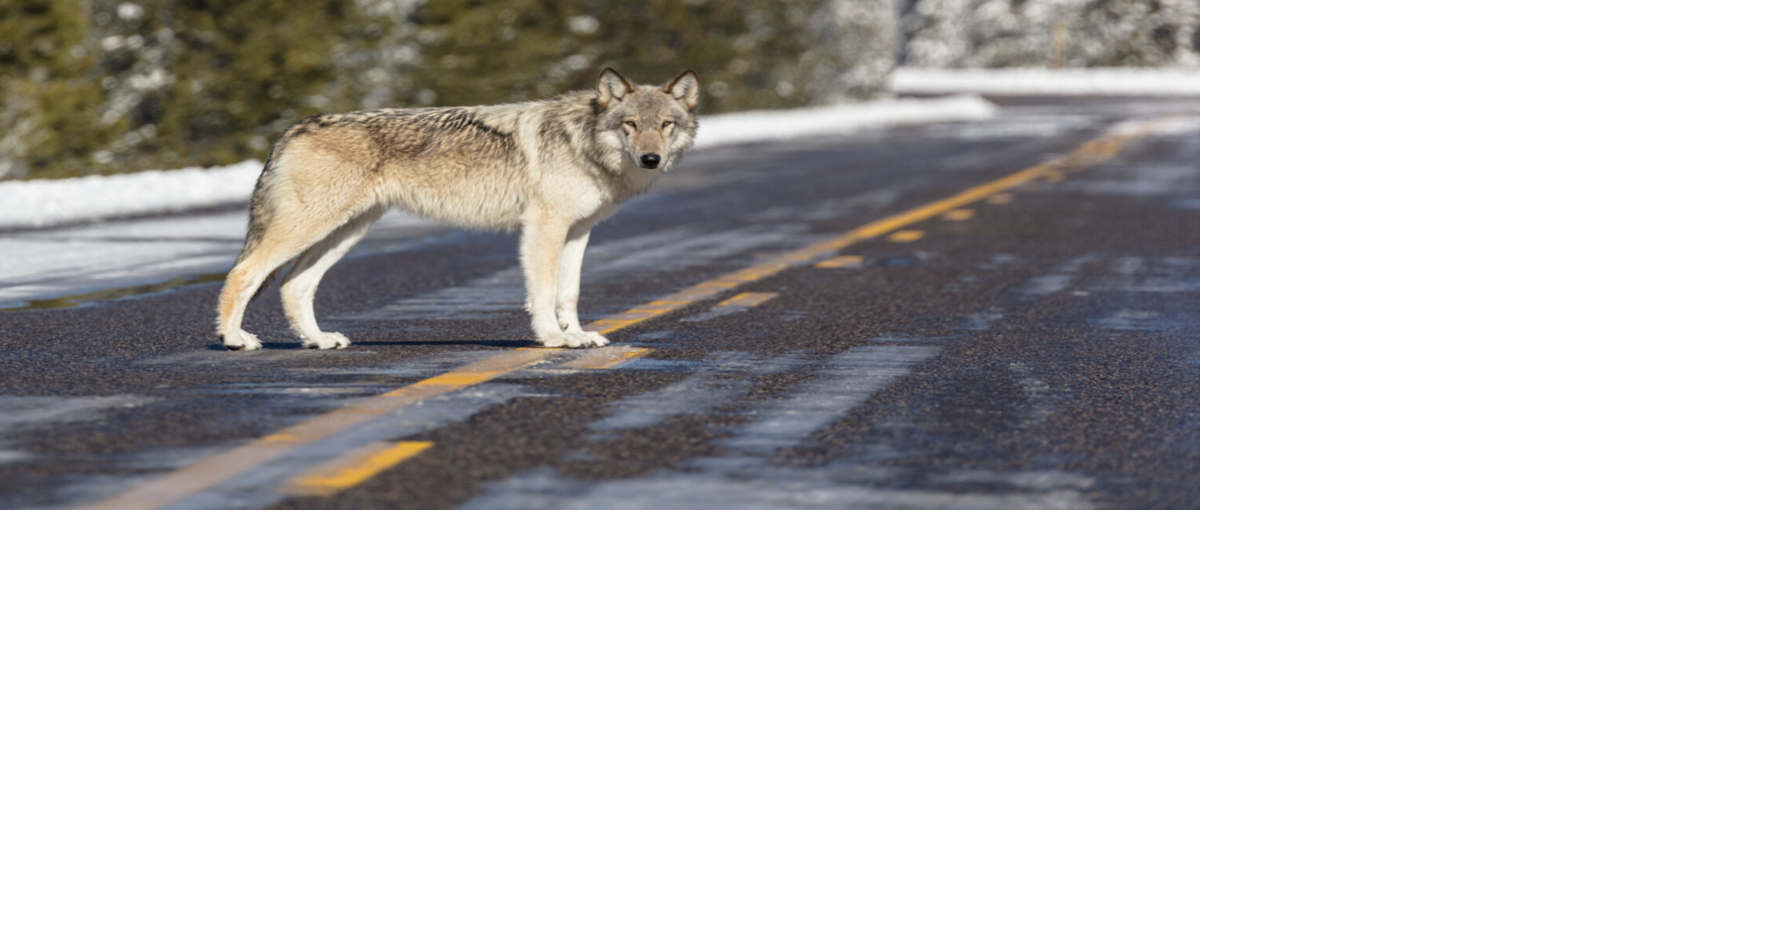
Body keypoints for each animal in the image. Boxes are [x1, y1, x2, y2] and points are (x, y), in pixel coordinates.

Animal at [215, 67, 698, 351]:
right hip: (311, 227)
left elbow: (569, 293)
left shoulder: (578, 231)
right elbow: (542, 293)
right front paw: (552, 339)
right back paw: (235, 339)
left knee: (293, 284)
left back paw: (318, 340)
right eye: (630, 125)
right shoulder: (544, 226)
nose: (650, 159)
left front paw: (576, 334)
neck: (584, 142)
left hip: (345, 233)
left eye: (665, 125)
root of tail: (294, 127)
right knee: (244, 272)